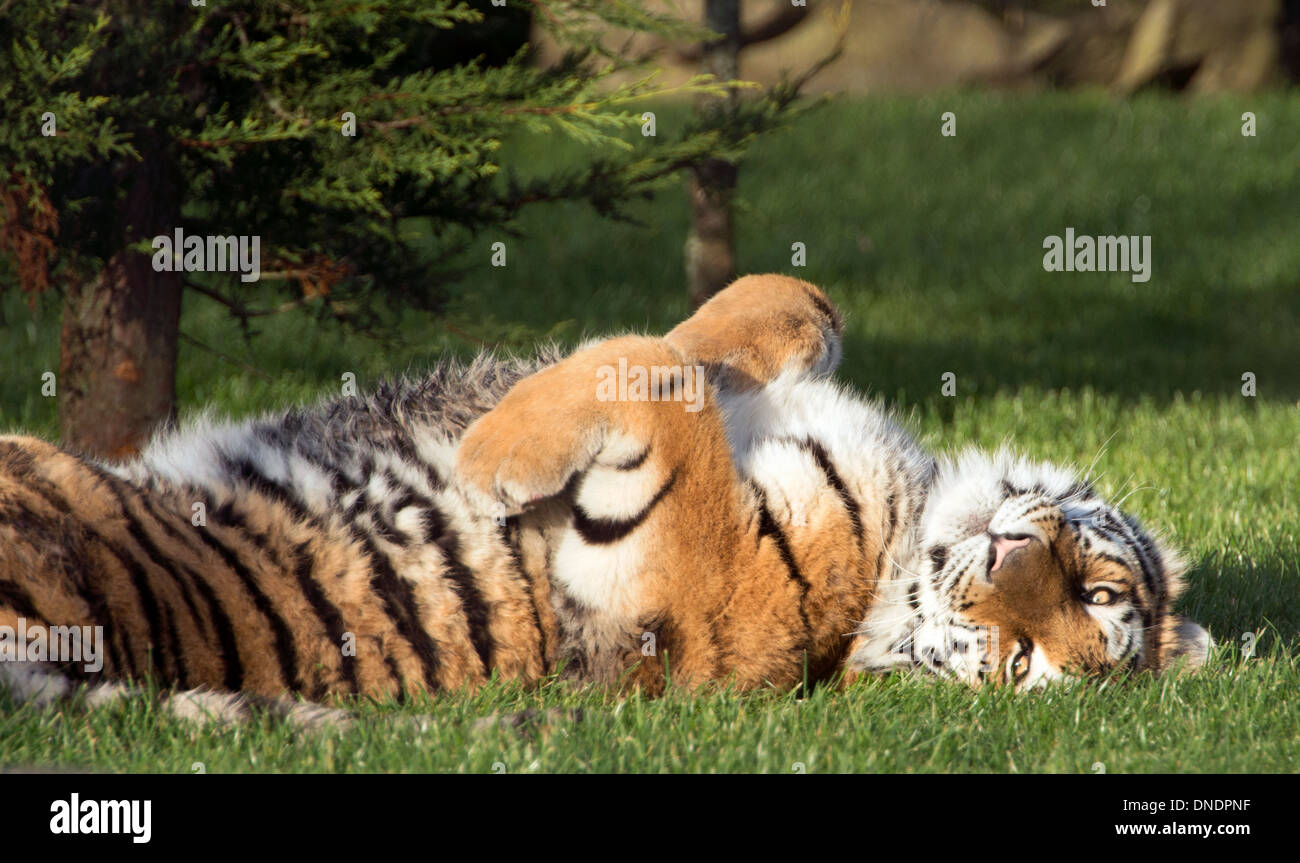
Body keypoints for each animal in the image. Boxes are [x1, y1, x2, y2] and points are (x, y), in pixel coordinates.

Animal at [0, 274, 1209, 727]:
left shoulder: (691, 581)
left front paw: (487, 444)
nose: (1002, 558)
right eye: (1096, 586)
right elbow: (751, 326)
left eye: (1021, 659)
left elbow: (659, 374)